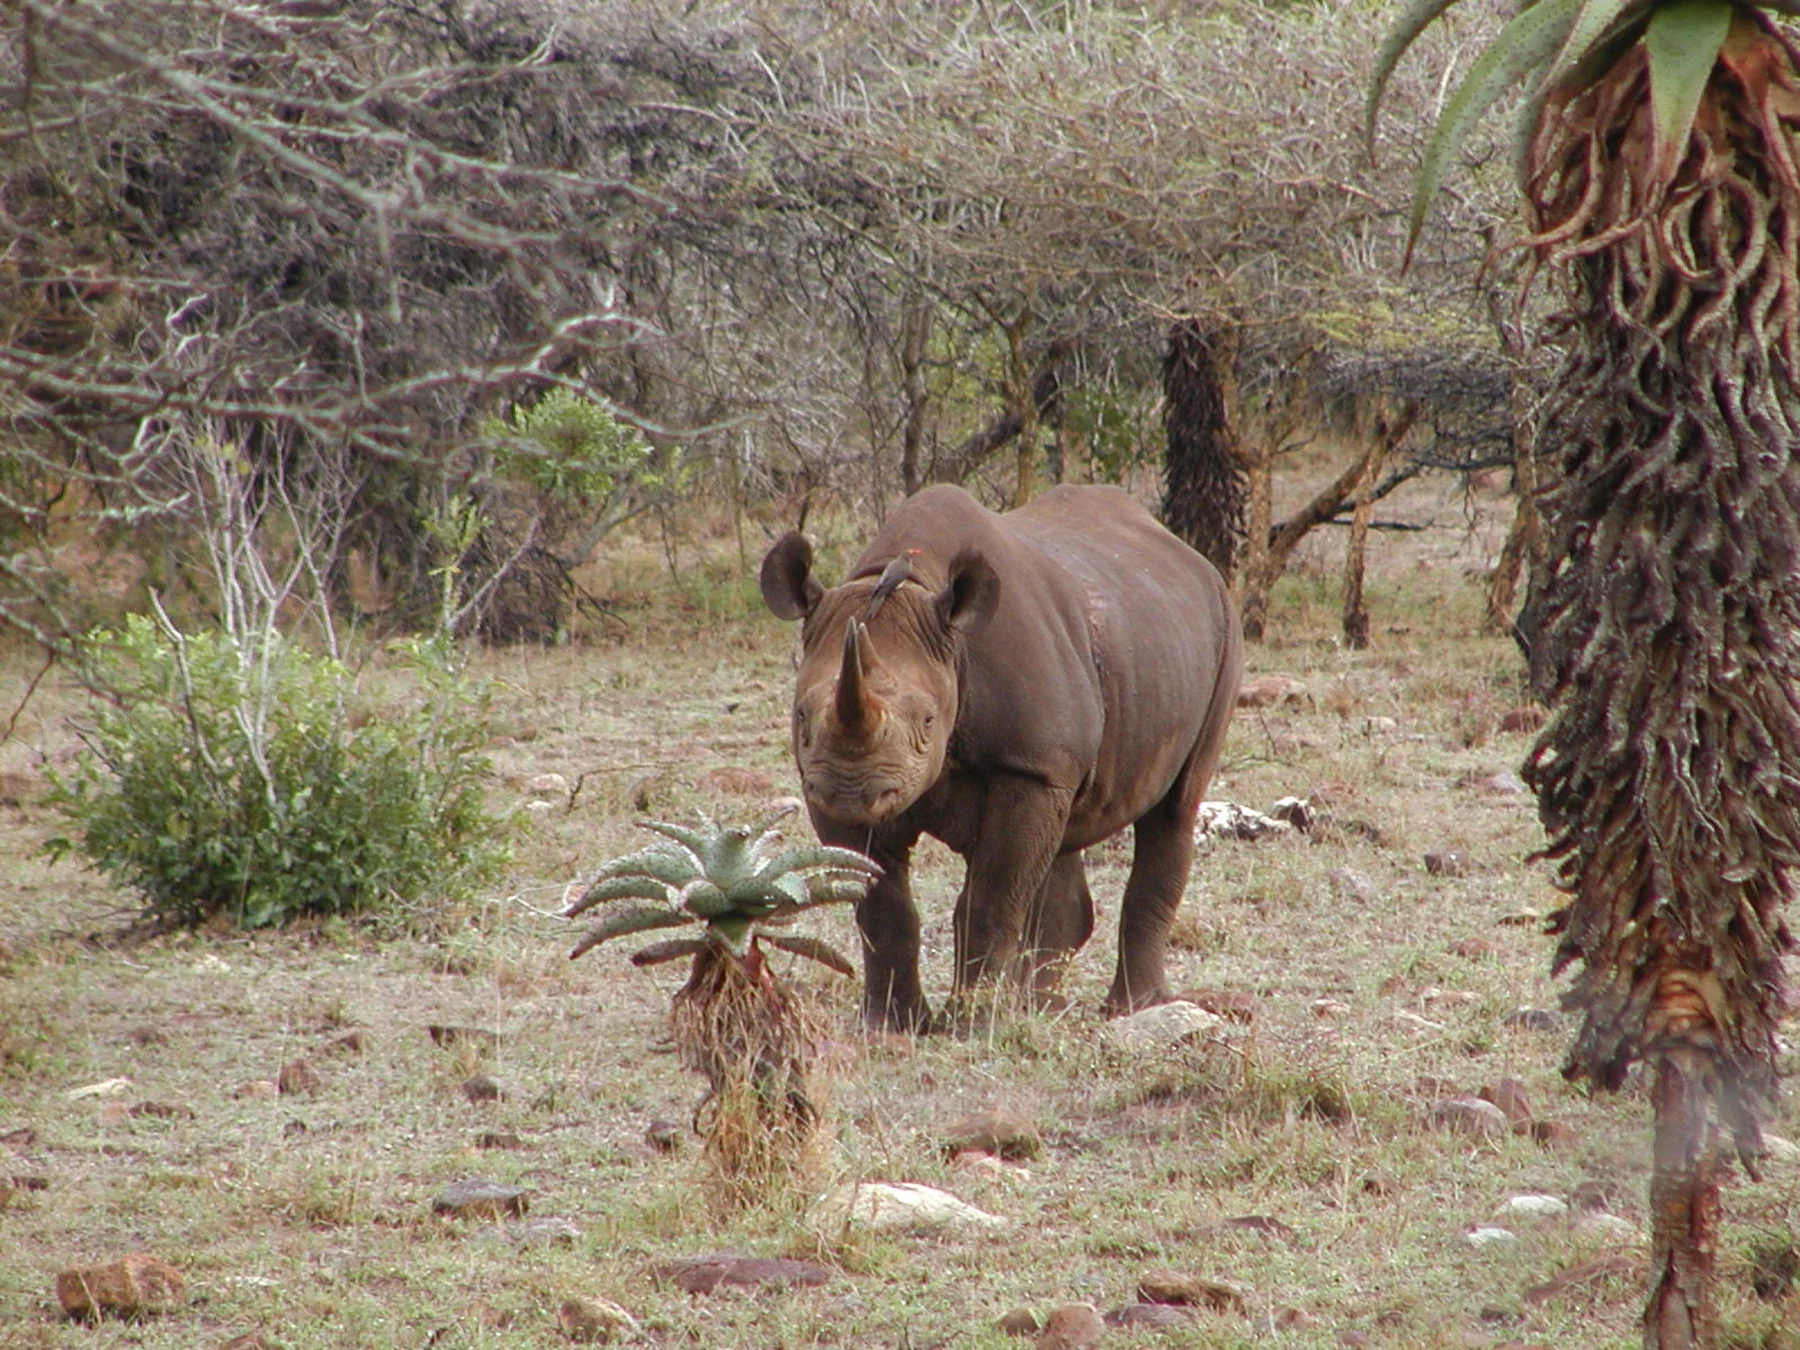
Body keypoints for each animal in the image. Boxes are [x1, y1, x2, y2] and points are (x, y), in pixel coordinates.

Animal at [760, 483, 1243, 1030]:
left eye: (928, 722)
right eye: (801, 716)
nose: (851, 790)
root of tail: (1190, 557)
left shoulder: (1029, 767)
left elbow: (991, 897)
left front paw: (971, 1022)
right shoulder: (823, 784)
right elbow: (879, 906)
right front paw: (891, 1025)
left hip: (1223, 635)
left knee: (1175, 807)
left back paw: (1134, 1009)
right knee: (1063, 840)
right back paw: (1040, 1009)